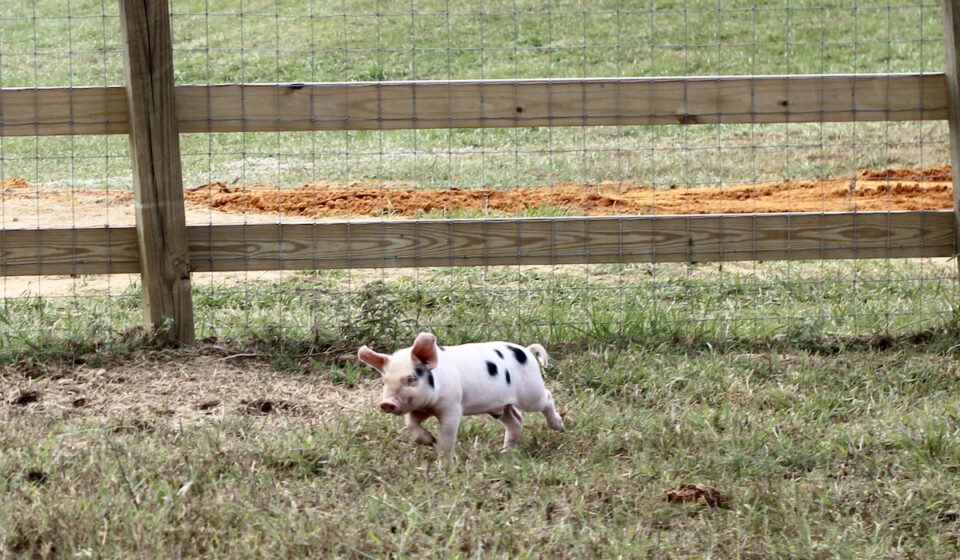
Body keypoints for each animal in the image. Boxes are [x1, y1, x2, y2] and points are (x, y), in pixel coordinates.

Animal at [357, 332, 564, 455]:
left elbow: (447, 438)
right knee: (515, 420)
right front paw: (430, 441)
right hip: (498, 406)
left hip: (530, 393)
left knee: (546, 397)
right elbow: (411, 424)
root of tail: (527, 351)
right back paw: (504, 452)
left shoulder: (452, 407)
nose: (387, 403)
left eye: (411, 379)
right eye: (385, 381)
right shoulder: (419, 409)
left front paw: (443, 466)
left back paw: (559, 426)